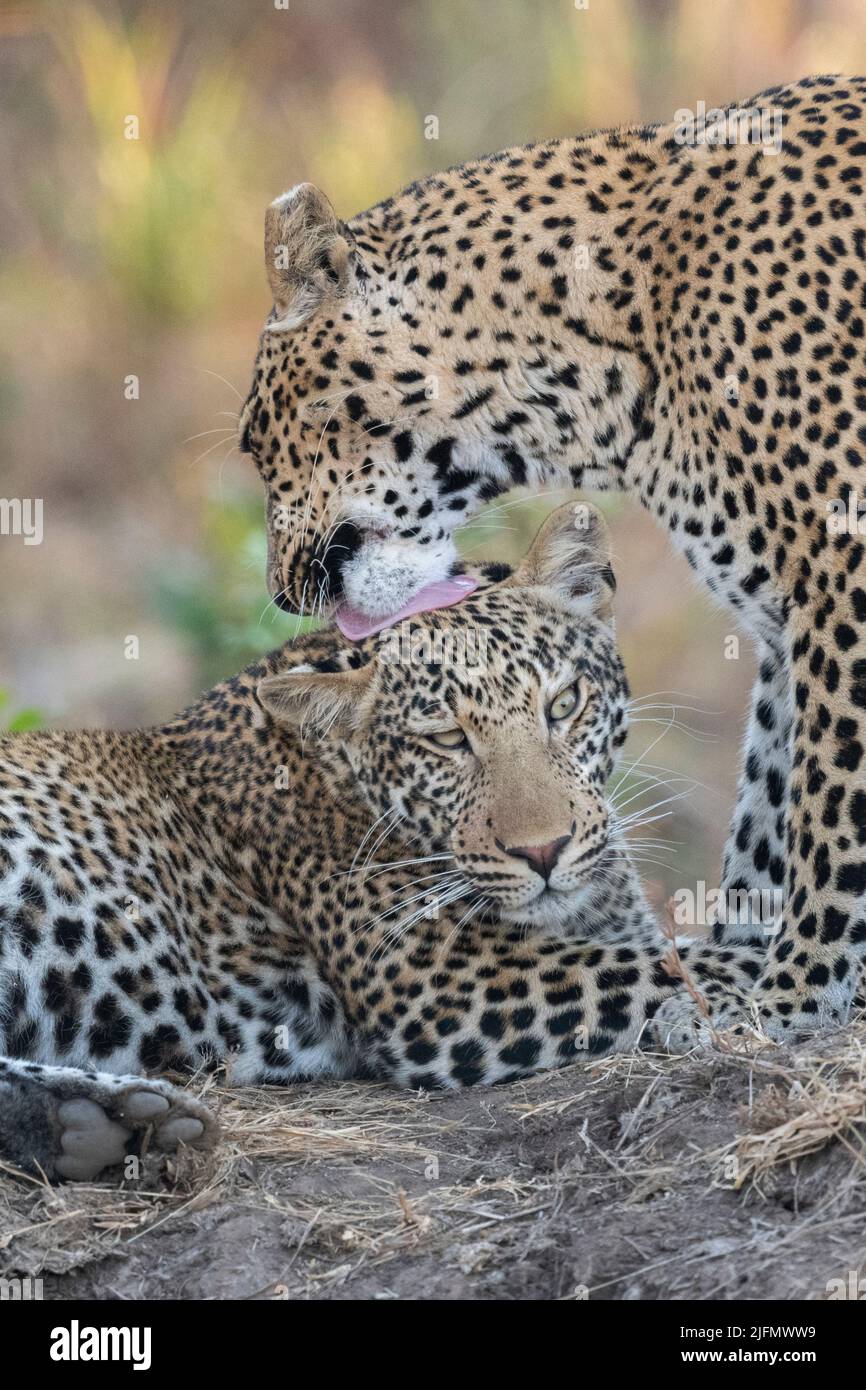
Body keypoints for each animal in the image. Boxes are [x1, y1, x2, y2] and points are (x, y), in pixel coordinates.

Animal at [0, 504, 761, 1181]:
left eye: (563, 706)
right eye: (446, 741)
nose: (544, 852)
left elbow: (686, 950)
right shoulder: (442, 984)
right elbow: (692, 965)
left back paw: (94, 1124)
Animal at [238, 73, 866, 1042]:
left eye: (253, 442)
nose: (281, 591)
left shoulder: (843, 570)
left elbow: (830, 813)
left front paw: (796, 992)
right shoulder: (786, 619)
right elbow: (769, 801)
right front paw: (740, 972)